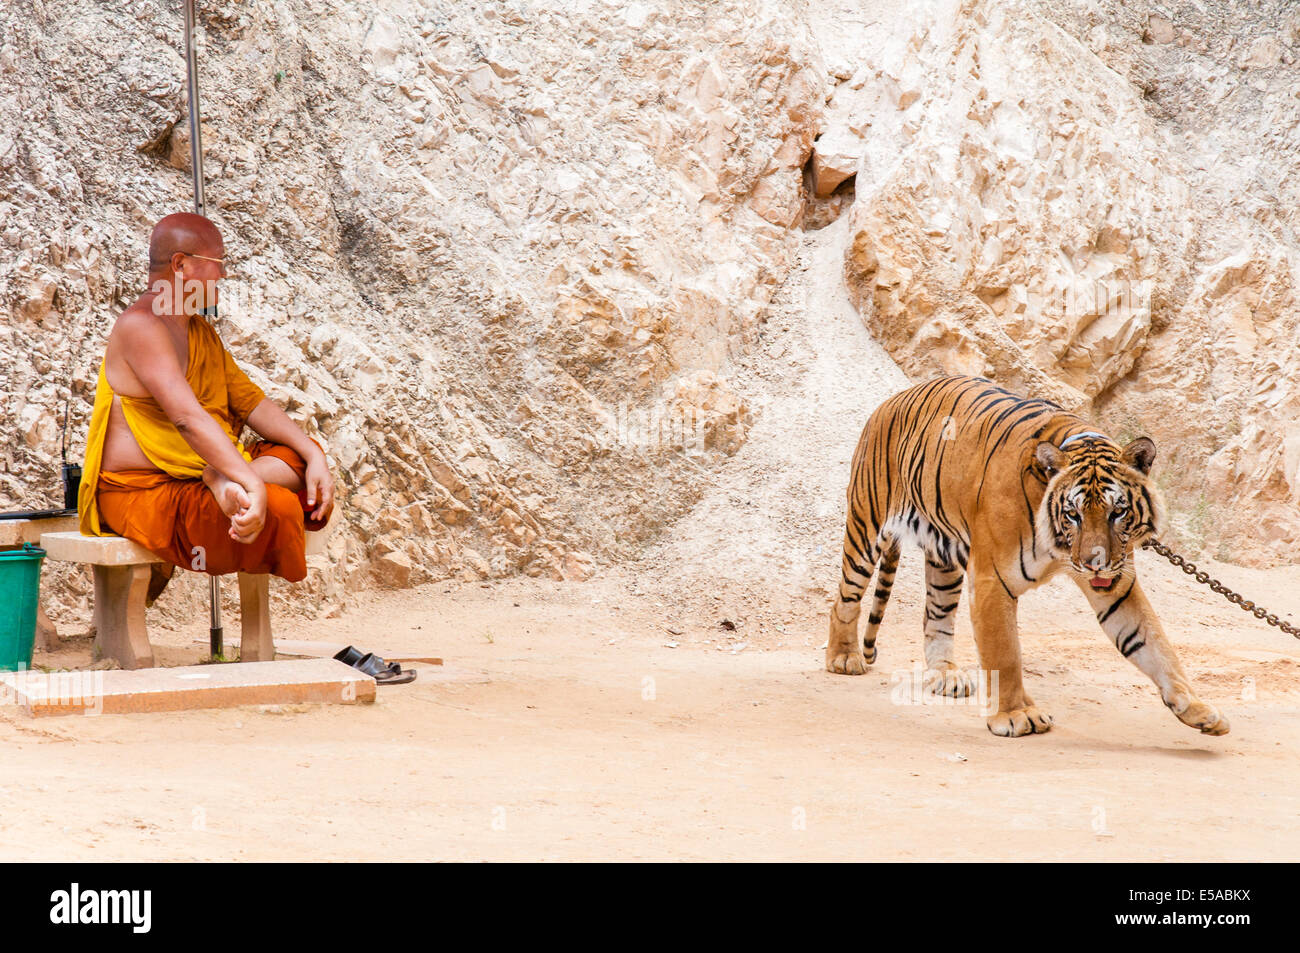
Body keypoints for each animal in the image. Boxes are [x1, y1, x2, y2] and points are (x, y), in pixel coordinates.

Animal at [827, 375, 1230, 738]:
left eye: (1118, 512)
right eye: (1073, 514)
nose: (1094, 563)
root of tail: (895, 397)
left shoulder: (1118, 587)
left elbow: (1155, 644)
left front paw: (1197, 710)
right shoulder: (992, 580)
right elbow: (1005, 653)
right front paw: (1017, 715)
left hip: (944, 558)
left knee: (935, 617)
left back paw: (946, 675)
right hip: (866, 525)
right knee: (845, 598)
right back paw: (843, 658)